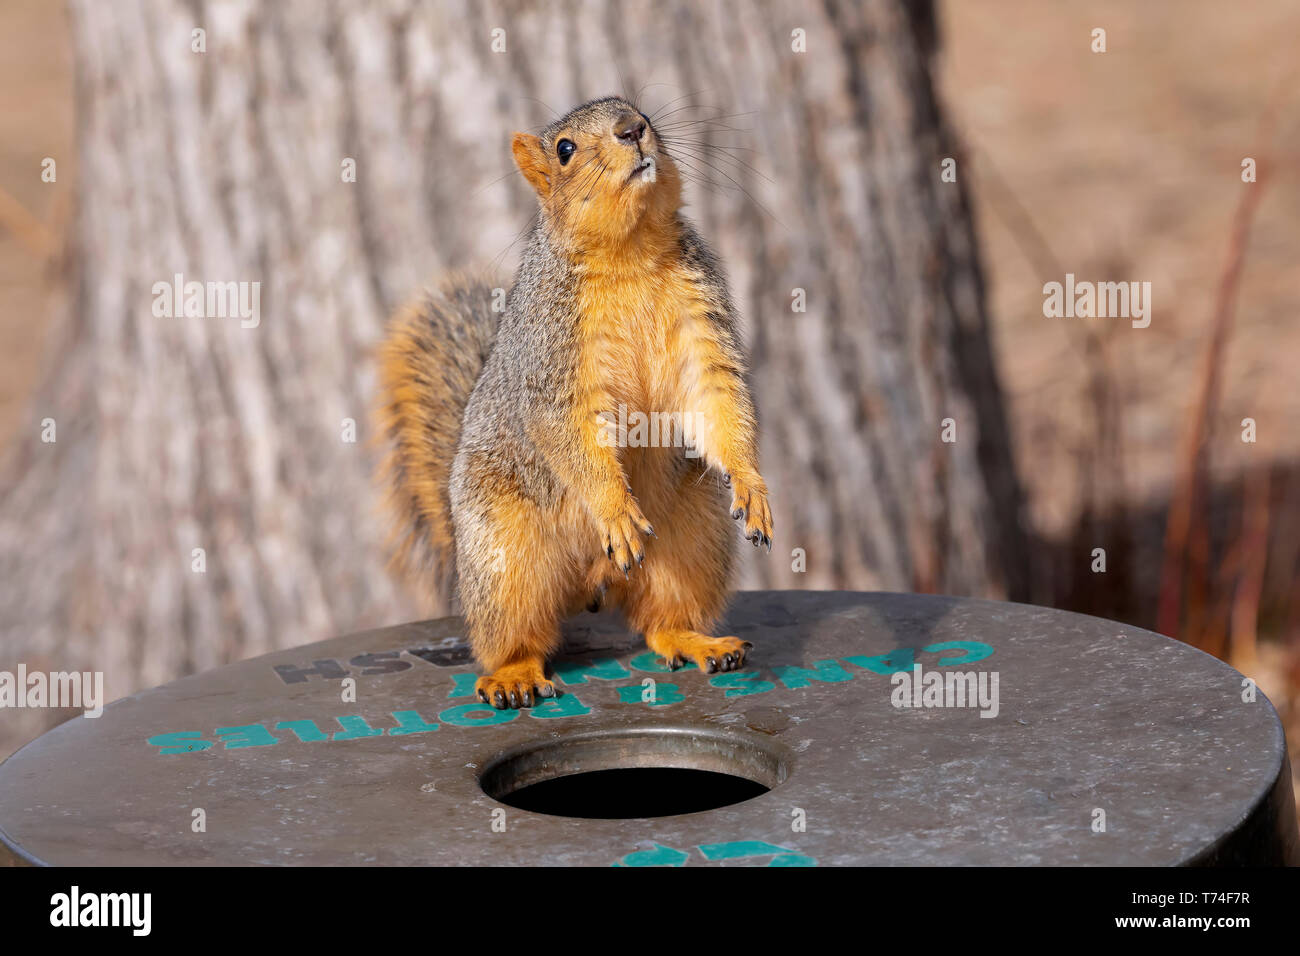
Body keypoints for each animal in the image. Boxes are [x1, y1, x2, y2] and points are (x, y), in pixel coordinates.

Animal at [376, 96, 772, 710]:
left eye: (638, 108)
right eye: (565, 149)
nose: (633, 130)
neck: (629, 250)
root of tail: (591, 587)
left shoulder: (702, 323)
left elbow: (719, 400)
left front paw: (751, 485)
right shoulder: (553, 357)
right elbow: (569, 434)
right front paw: (614, 510)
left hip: (694, 534)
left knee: (662, 618)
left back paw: (699, 641)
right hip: (503, 555)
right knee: (515, 637)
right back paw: (513, 675)